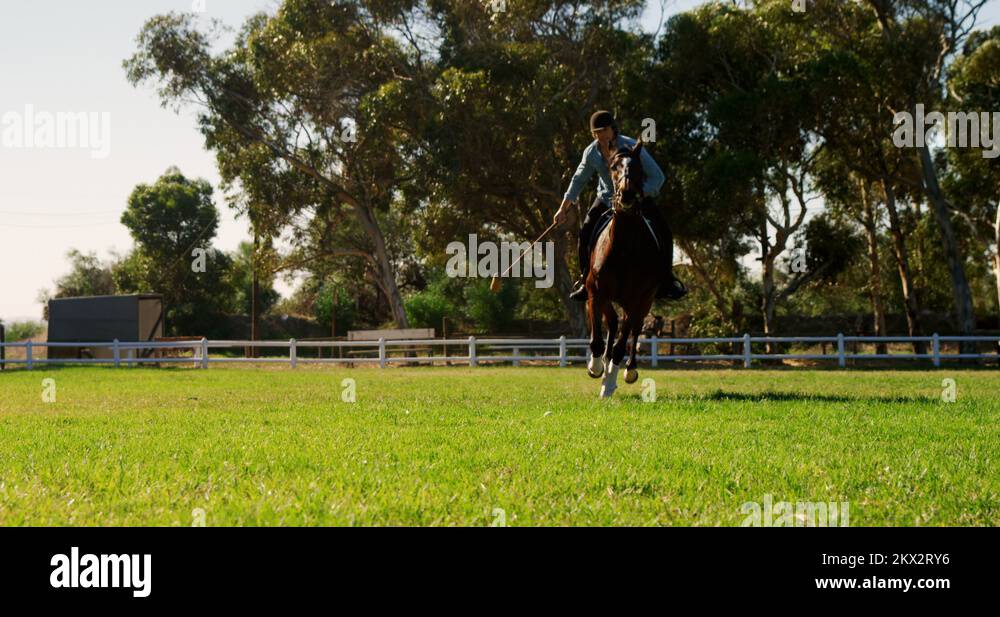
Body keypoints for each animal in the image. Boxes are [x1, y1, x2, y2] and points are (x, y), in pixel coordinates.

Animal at [585, 140, 663, 398]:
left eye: (638, 167)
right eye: (613, 167)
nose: (627, 194)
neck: (623, 247)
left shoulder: (635, 299)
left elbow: (622, 343)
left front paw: (610, 382)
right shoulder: (595, 292)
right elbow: (598, 340)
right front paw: (596, 368)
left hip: (645, 301)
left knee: (635, 329)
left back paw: (628, 370)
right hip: (608, 299)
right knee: (612, 324)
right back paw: (603, 366)